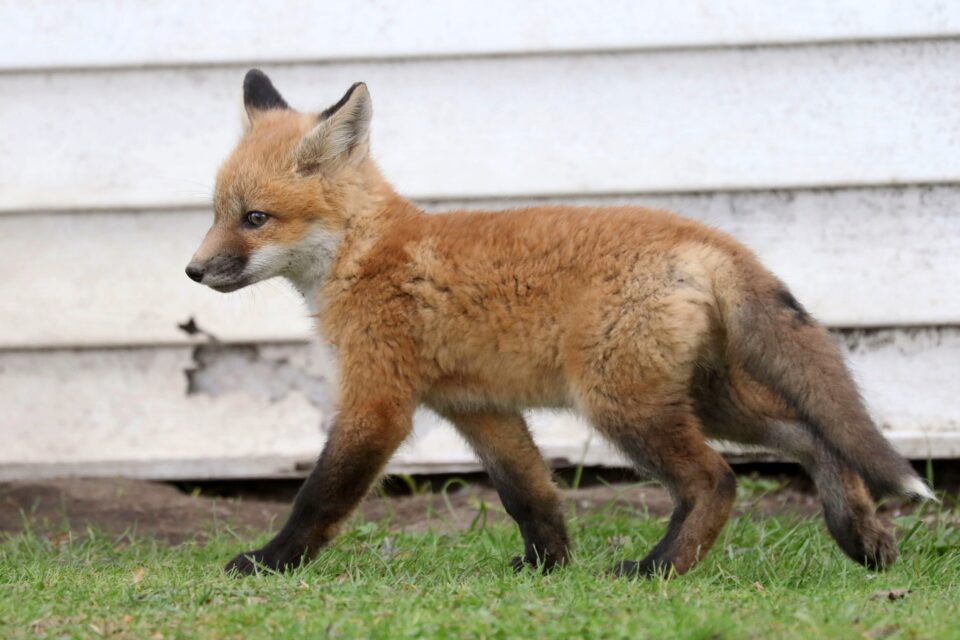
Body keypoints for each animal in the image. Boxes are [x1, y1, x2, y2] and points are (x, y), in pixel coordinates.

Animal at [186, 69, 936, 578]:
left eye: (255, 218)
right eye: (216, 212)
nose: (193, 271)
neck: (365, 253)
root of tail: (705, 237)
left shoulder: (378, 401)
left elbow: (319, 498)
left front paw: (268, 562)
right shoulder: (478, 406)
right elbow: (530, 494)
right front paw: (547, 566)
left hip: (622, 405)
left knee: (717, 480)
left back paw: (657, 569)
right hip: (701, 398)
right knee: (815, 436)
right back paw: (863, 537)